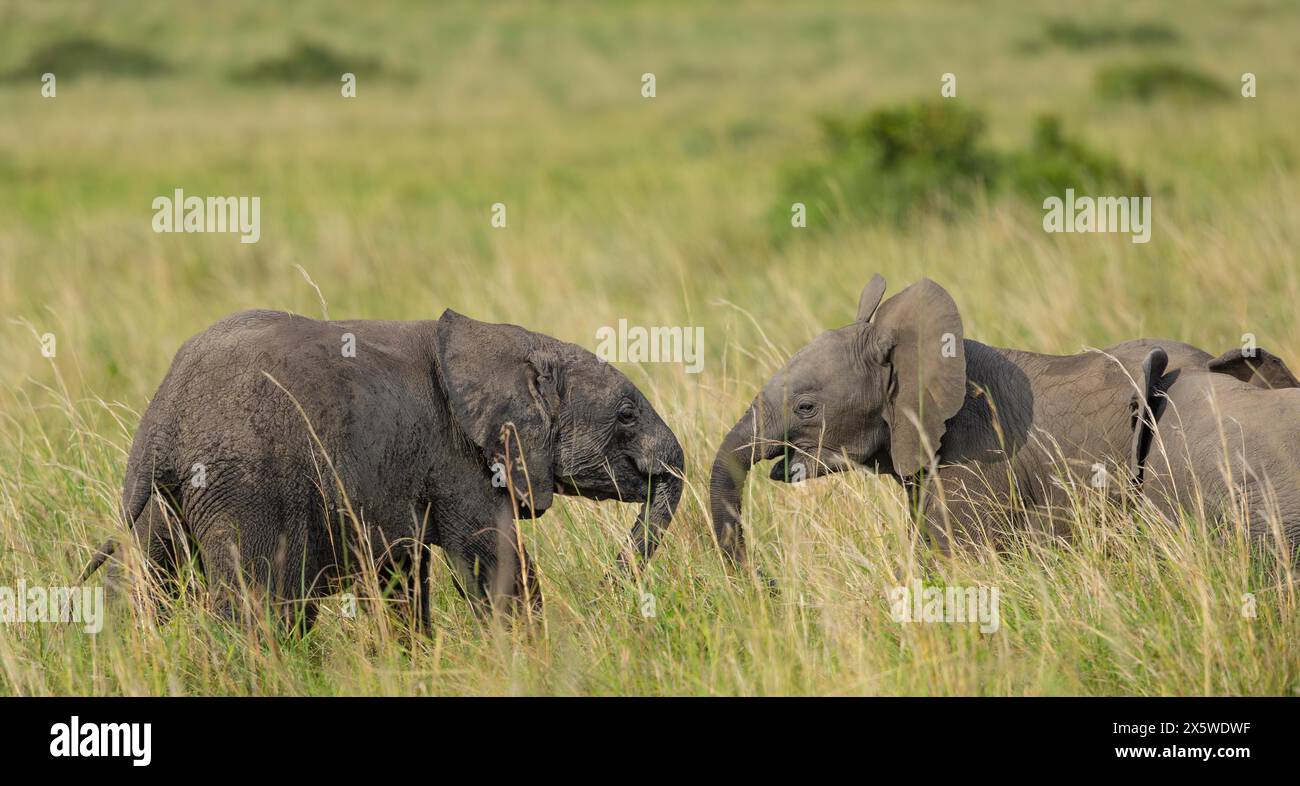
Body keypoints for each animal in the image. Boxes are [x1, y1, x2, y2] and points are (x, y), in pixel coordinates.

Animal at [81, 308, 684, 629]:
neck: (511, 342)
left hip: (164, 494)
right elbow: (496, 562)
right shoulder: (461, 458)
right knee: (258, 603)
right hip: (242, 481)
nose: (603, 595)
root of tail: (166, 415)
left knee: (144, 580)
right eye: (626, 415)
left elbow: (404, 574)